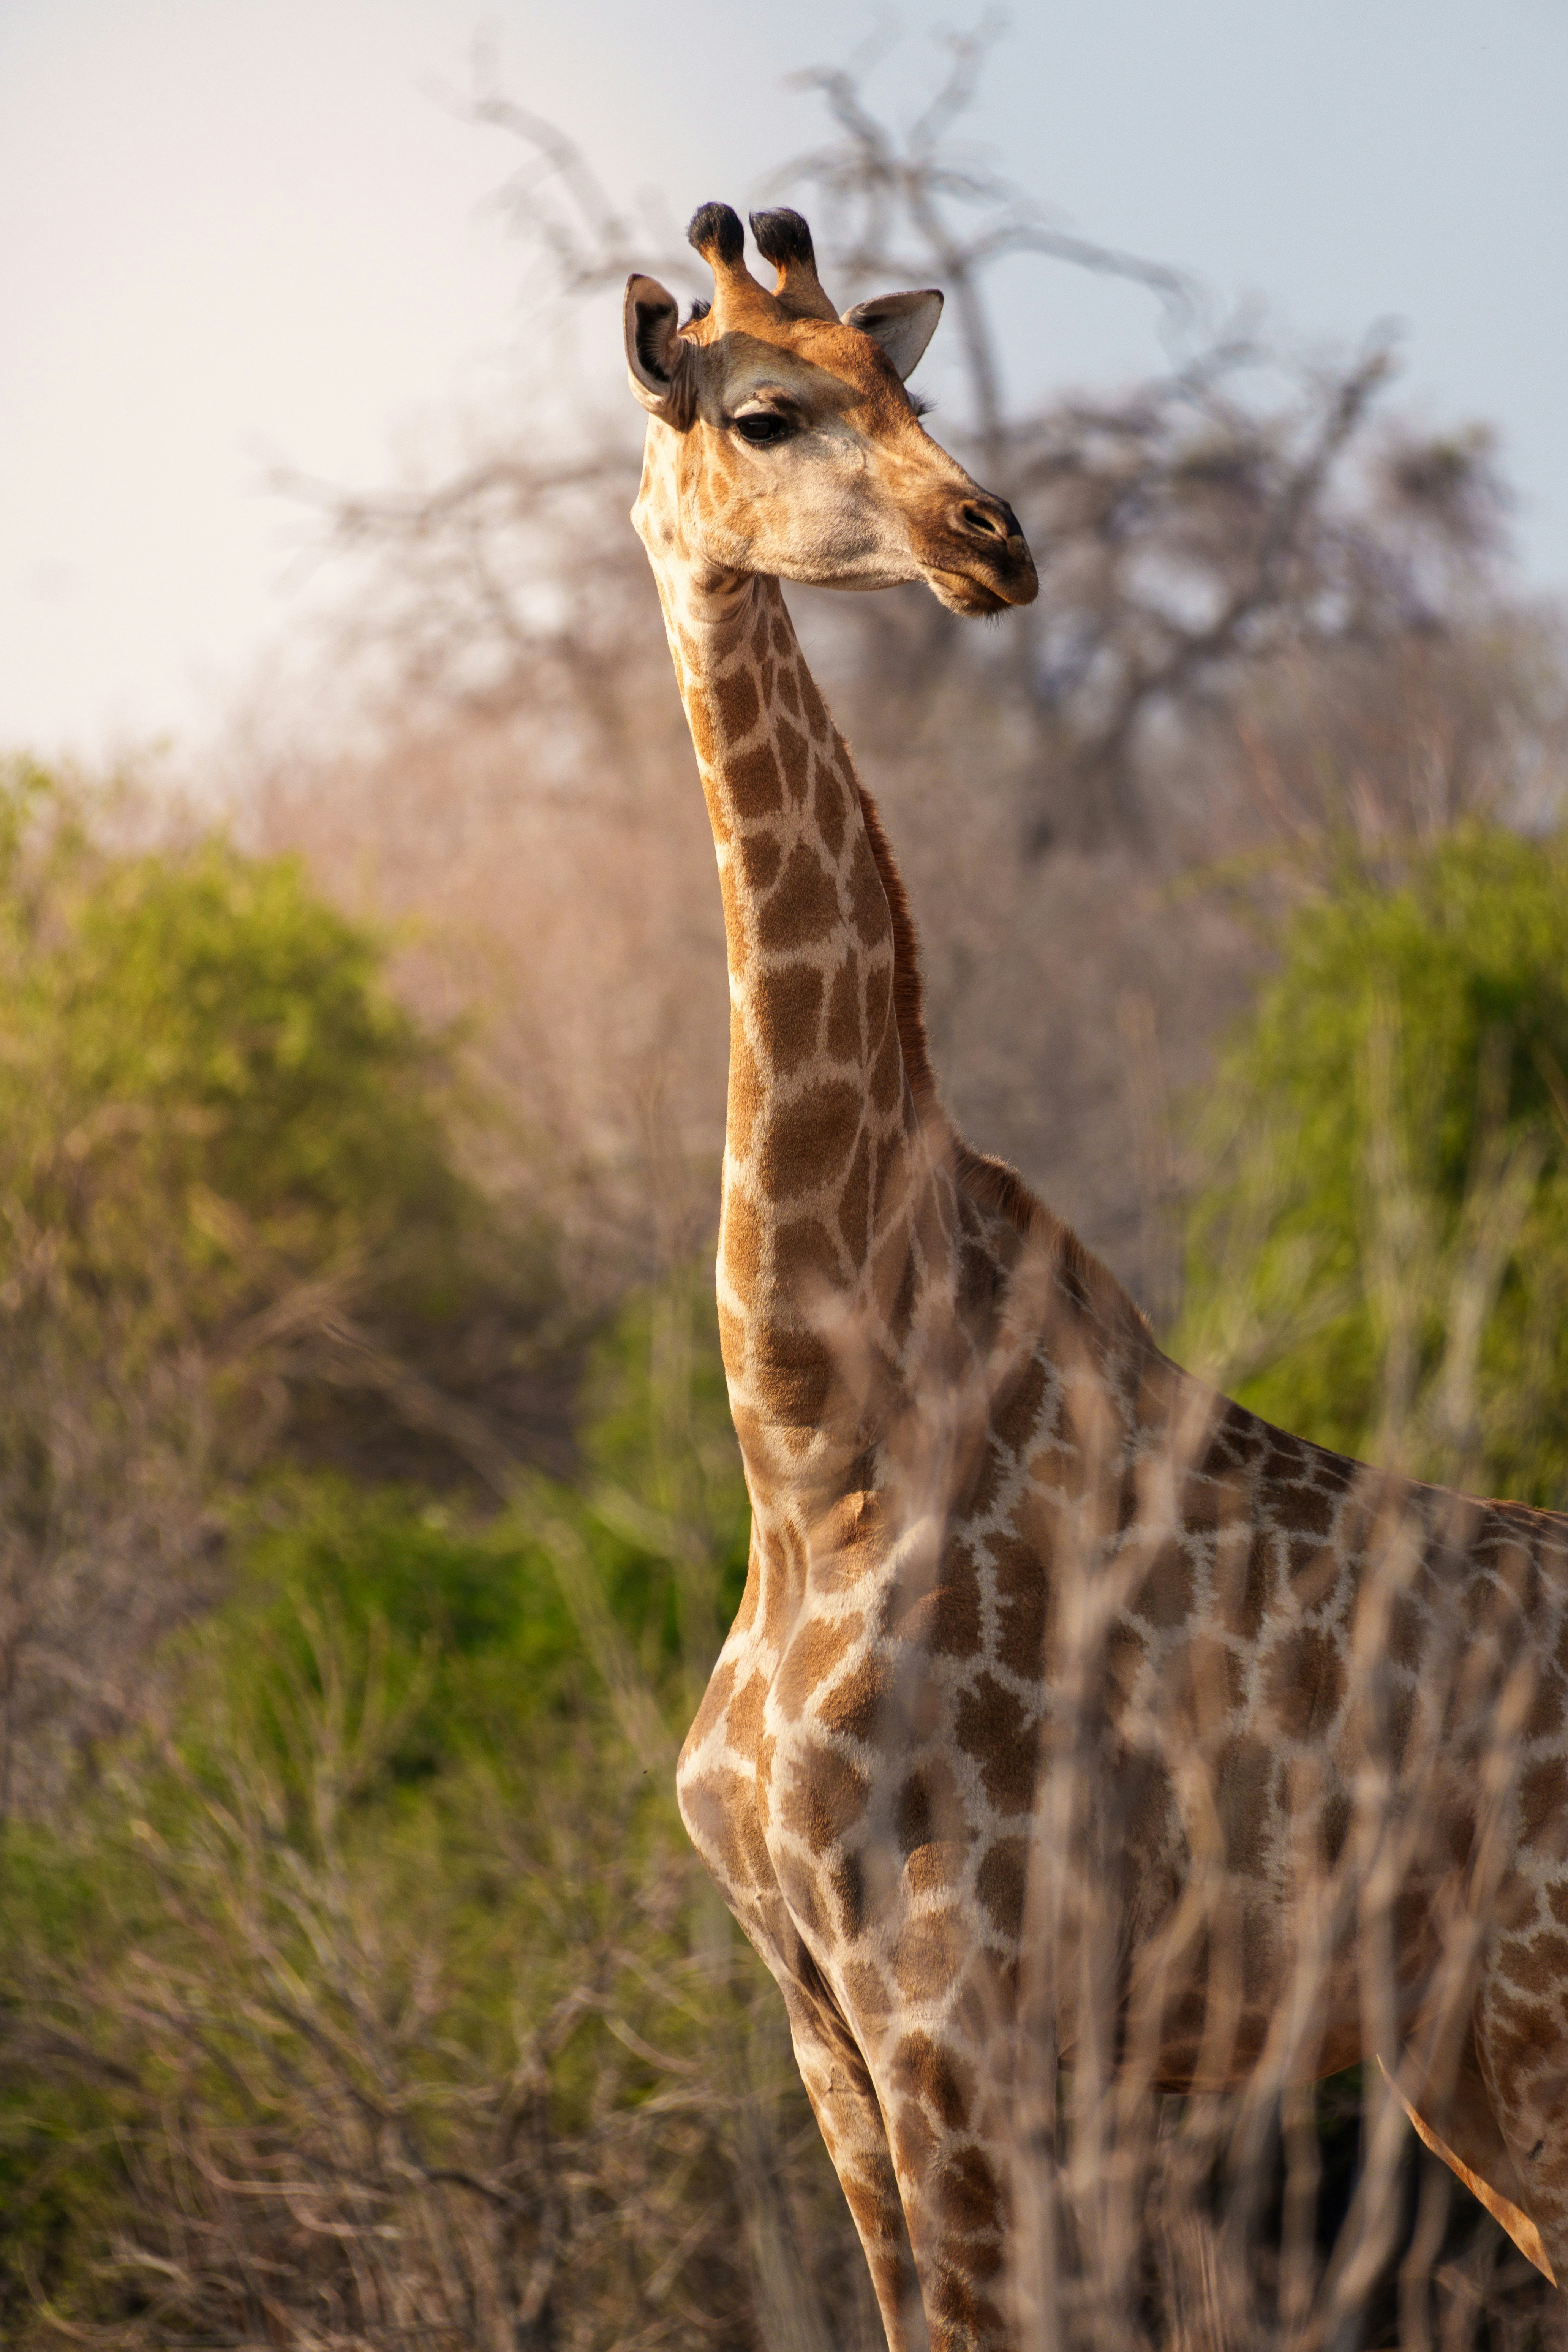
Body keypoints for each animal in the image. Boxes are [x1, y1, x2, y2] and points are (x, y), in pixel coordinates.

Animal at [627, 202, 1568, 2349]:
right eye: (765, 405)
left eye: (899, 380)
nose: (991, 540)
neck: (810, 1440)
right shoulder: (831, 2029)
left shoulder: (958, 2008)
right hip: (1459, 2049)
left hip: (1532, 2010)